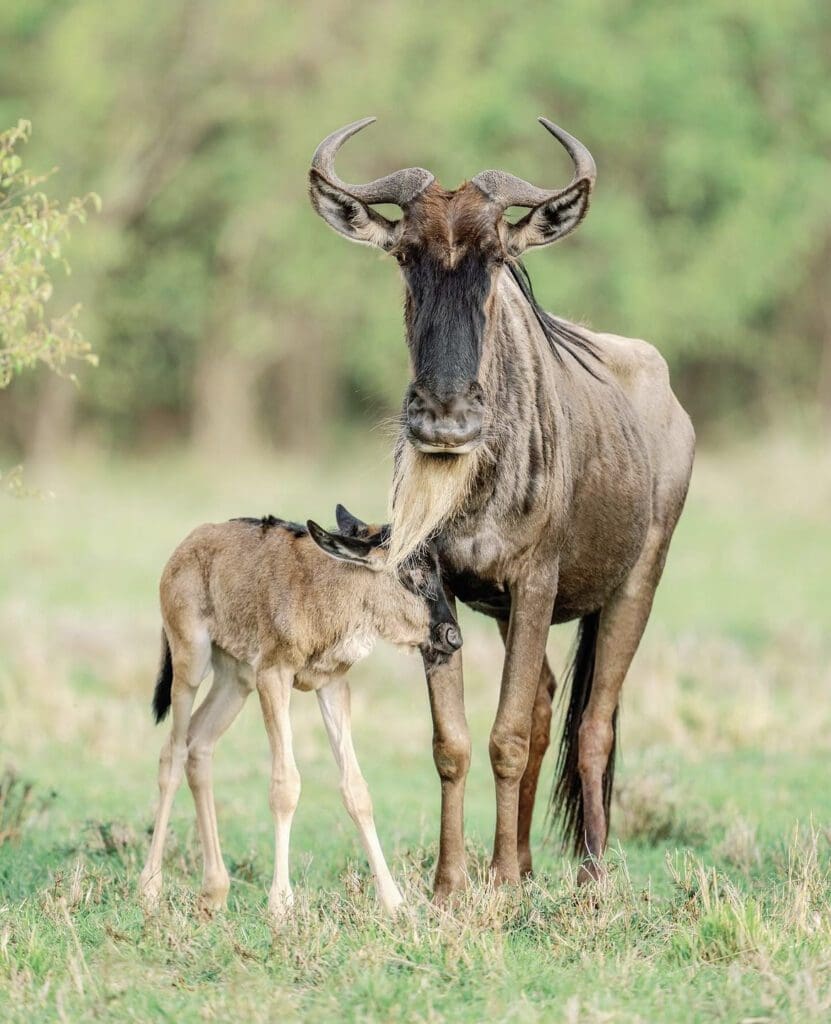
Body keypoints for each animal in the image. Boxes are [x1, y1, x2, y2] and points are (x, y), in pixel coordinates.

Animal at [138, 507, 462, 917]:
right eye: (412, 574)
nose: (453, 636)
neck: (330, 591)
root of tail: (186, 546)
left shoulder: (333, 684)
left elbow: (357, 790)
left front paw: (393, 902)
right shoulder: (273, 675)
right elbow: (285, 785)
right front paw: (281, 903)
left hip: (235, 679)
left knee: (199, 746)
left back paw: (214, 890)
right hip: (190, 662)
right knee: (173, 752)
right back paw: (150, 886)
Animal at [309, 117, 695, 896]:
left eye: (494, 259)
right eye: (405, 254)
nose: (444, 419)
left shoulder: (535, 582)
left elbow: (506, 737)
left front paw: (503, 886)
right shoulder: (436, 588)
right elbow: (454, 741)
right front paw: (454, 884)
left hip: (637, 582)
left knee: (593, 723)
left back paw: (589, 882)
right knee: (548, 704)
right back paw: (518, 864)